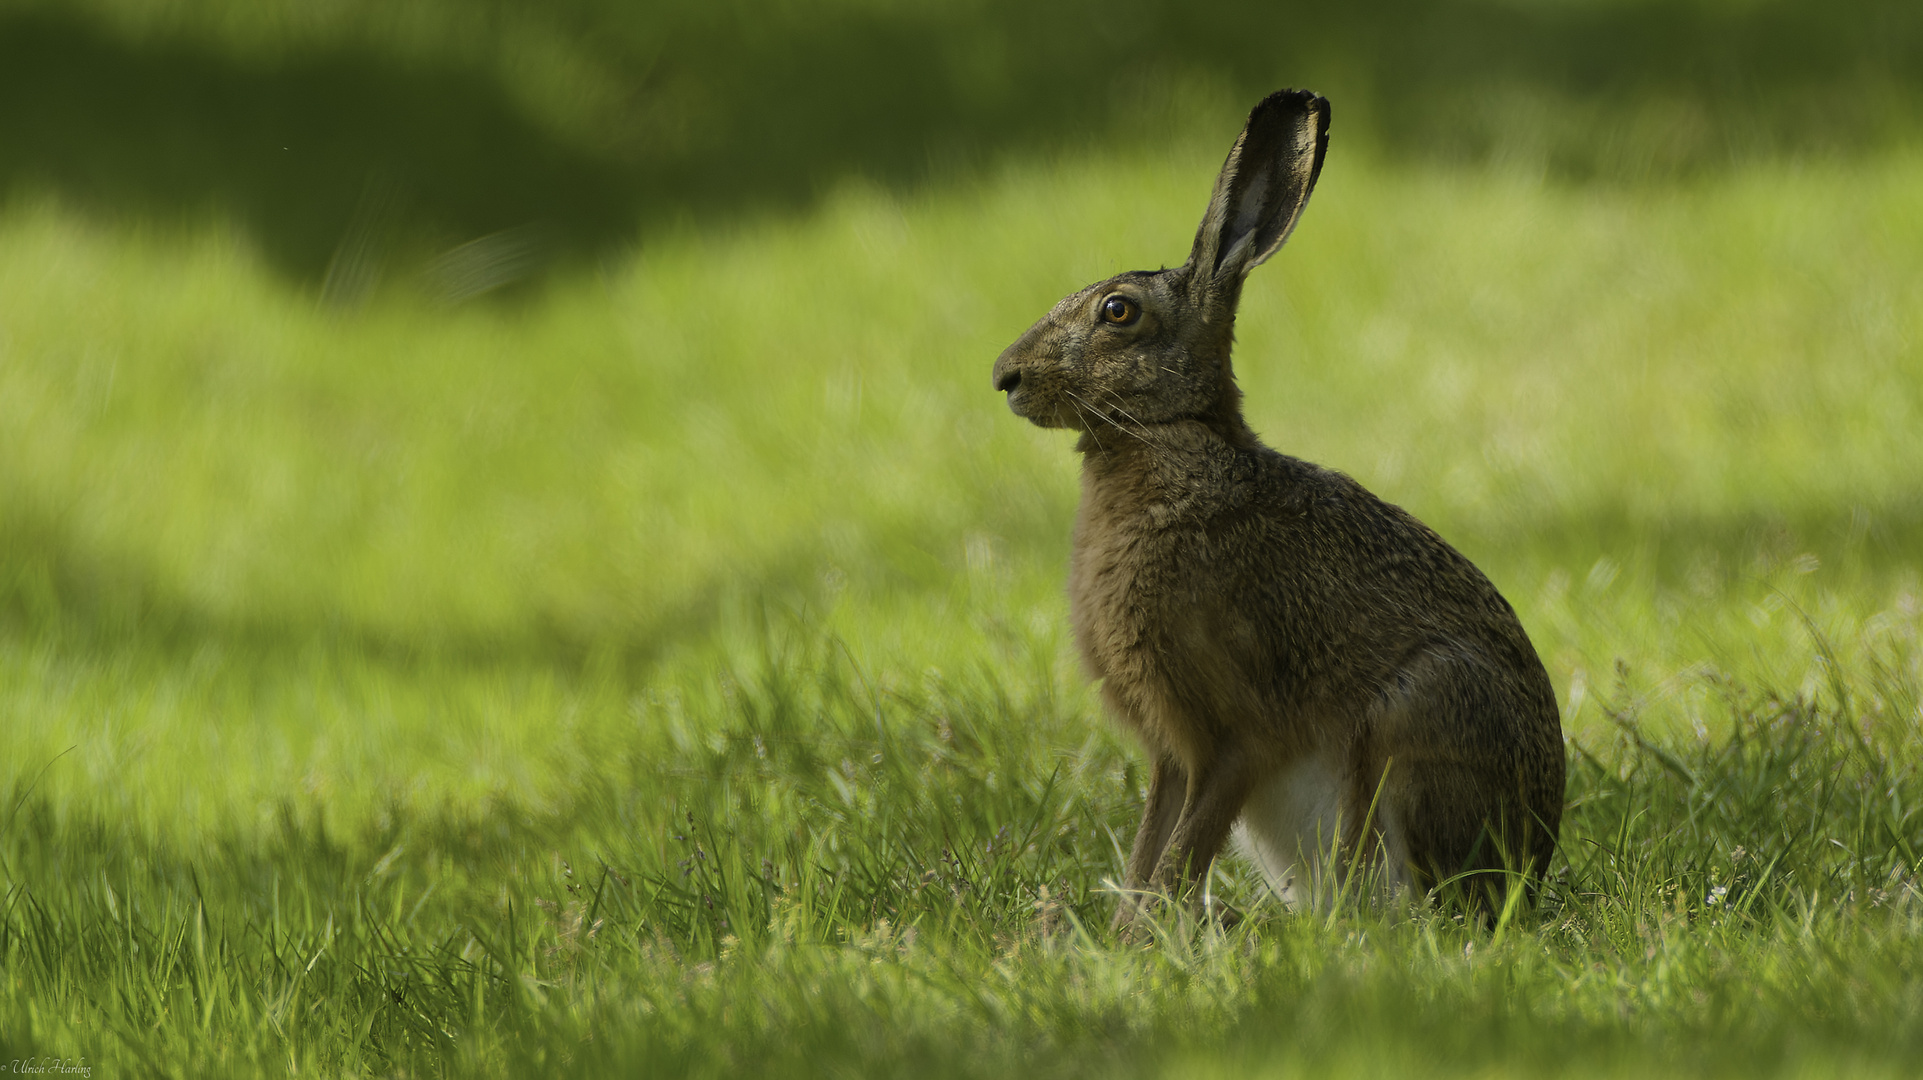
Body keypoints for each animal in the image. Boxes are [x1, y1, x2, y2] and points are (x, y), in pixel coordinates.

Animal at [990, 90, 1565, 924]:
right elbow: (1150, 849)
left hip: (1421, 709)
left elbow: (1180, 854)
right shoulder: (1173, 752)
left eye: (1118, 312)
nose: (1005, 377)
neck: (1174, 436)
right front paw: (1124, 932)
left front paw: (1139, 939)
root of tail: (1534, 864)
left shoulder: (1235, 733)